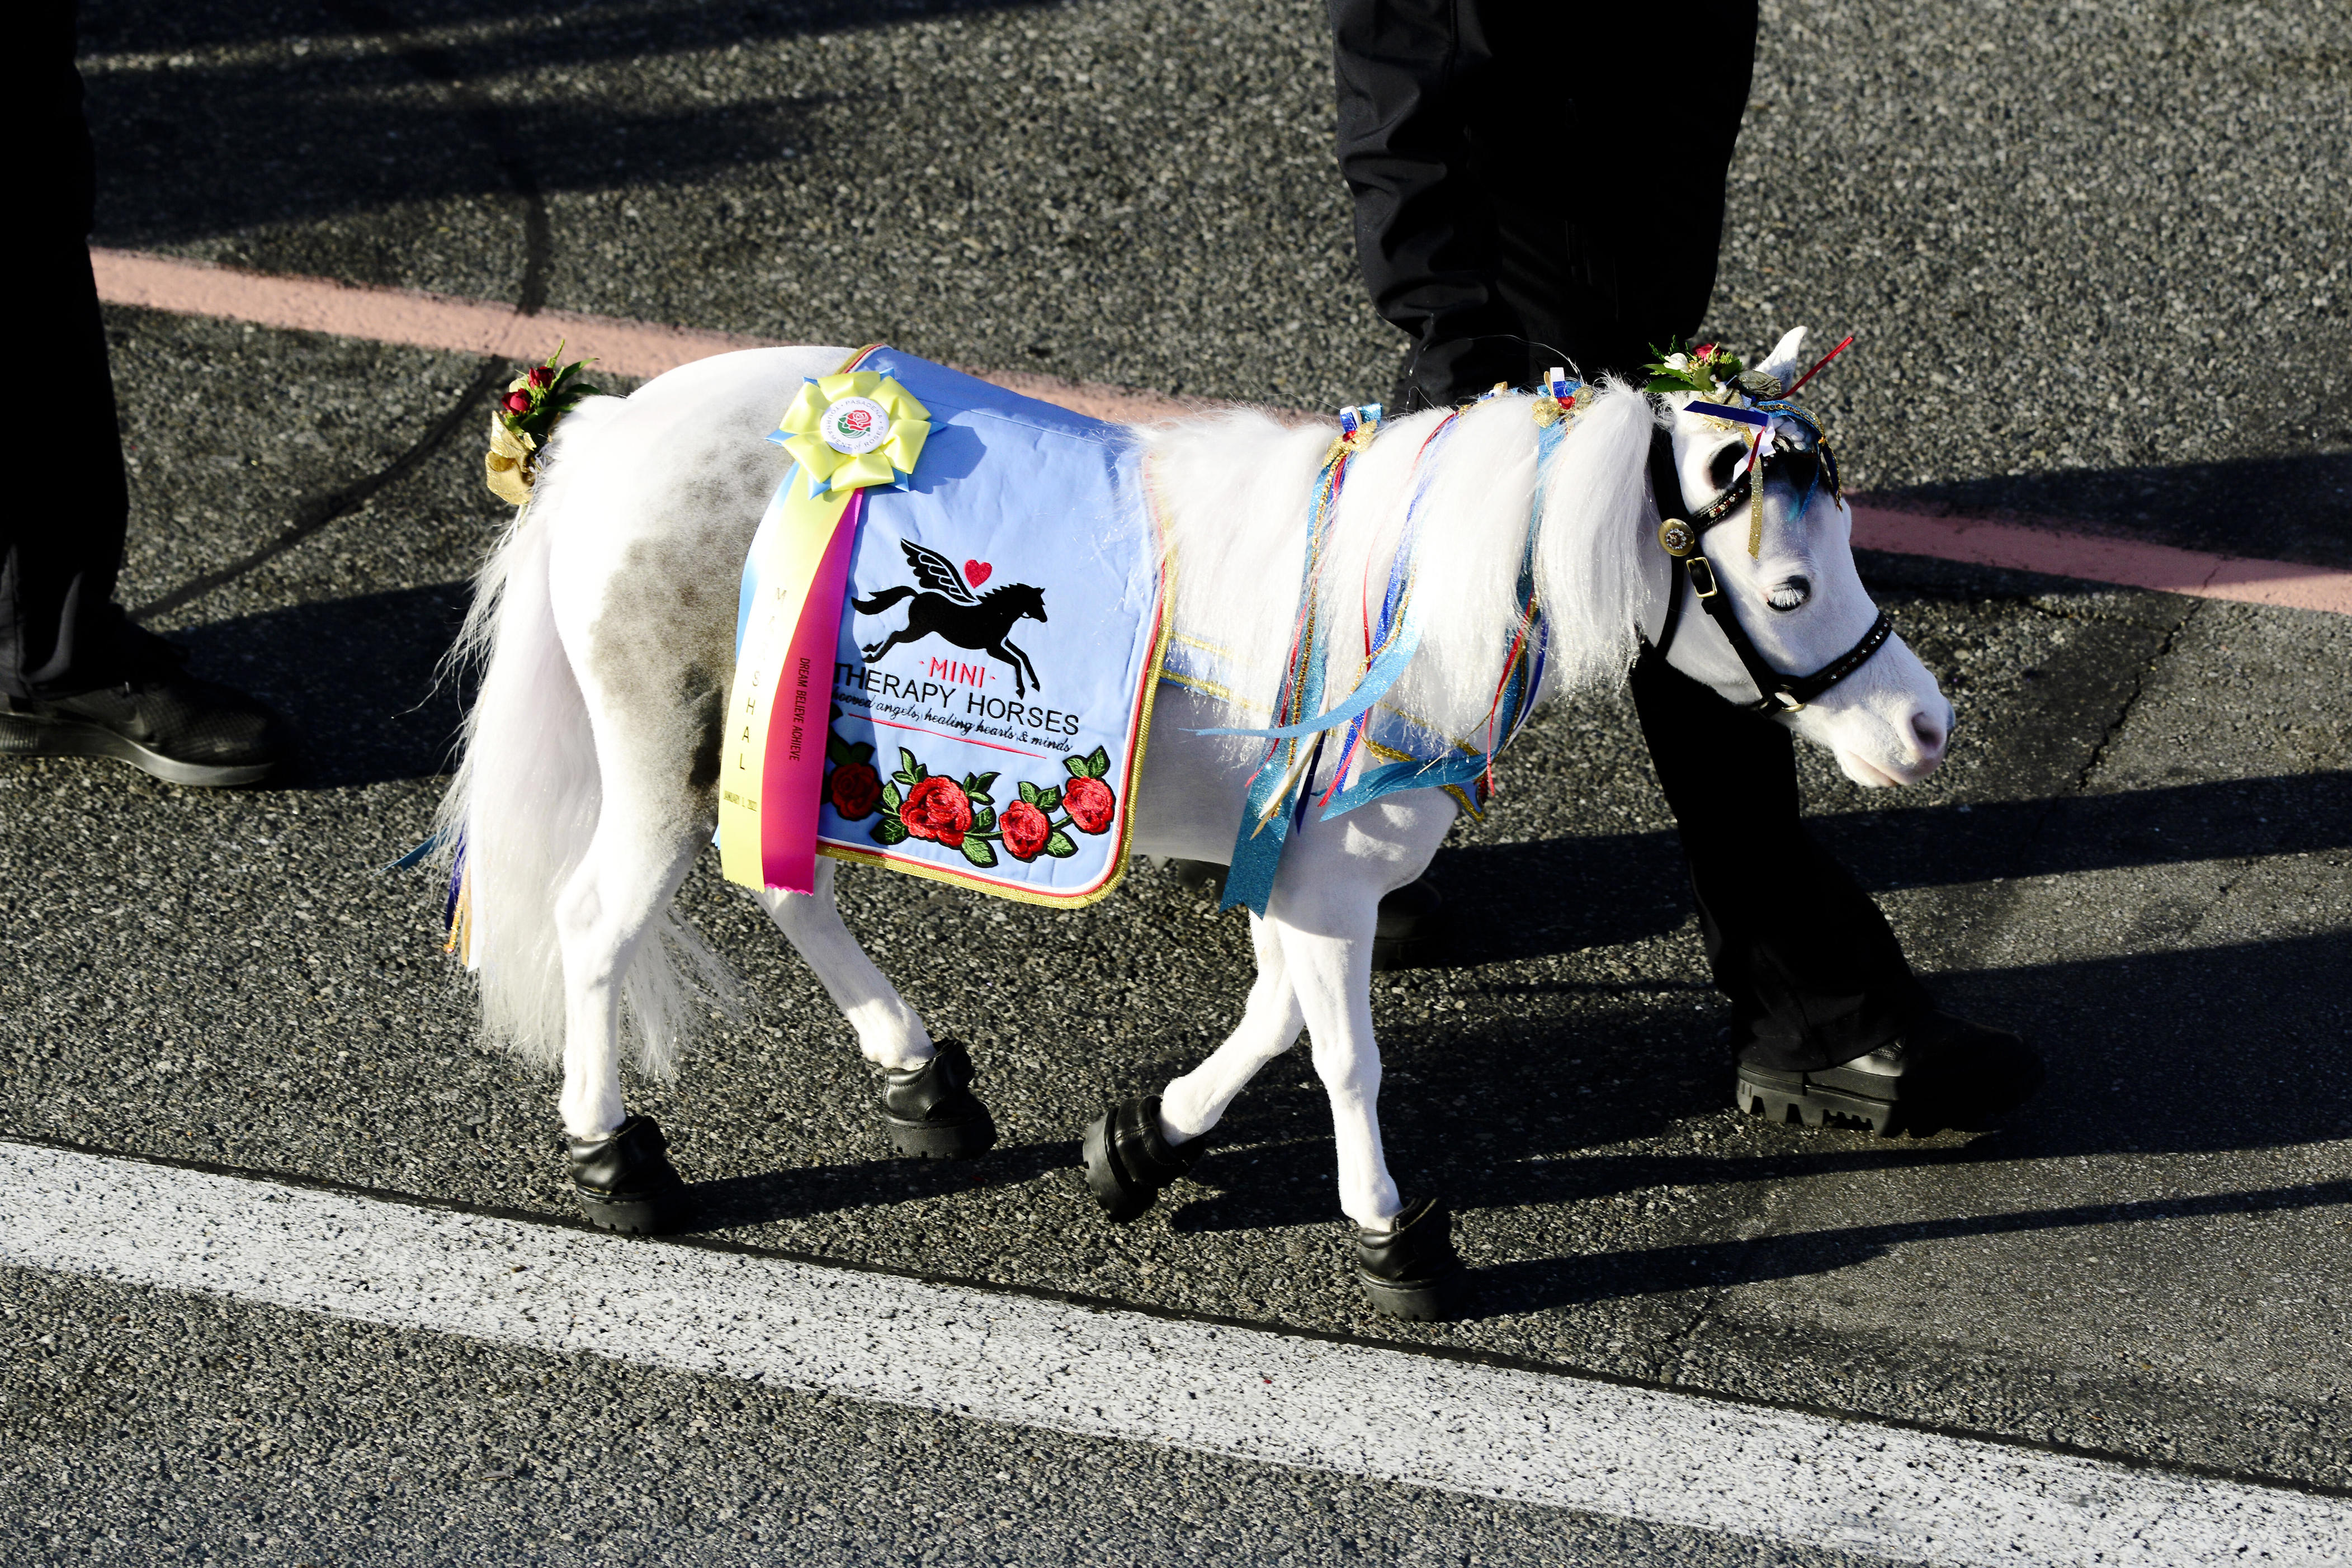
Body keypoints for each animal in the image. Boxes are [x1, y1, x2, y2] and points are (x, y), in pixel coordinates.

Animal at [435, 327, 1953, 1318]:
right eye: (1790, 585)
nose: (1923, 728)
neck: (1407, 605)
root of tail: (597, 443)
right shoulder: (1328, 877)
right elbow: (1342, 1055)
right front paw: (1394, 1238)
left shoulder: (1305, 874)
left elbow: (1276, 1019)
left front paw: (1143, 1145)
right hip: (662, 742)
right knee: (597, 920)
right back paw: (617, 1158)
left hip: (768, 748)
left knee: (784, 882)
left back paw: (921, 1079)